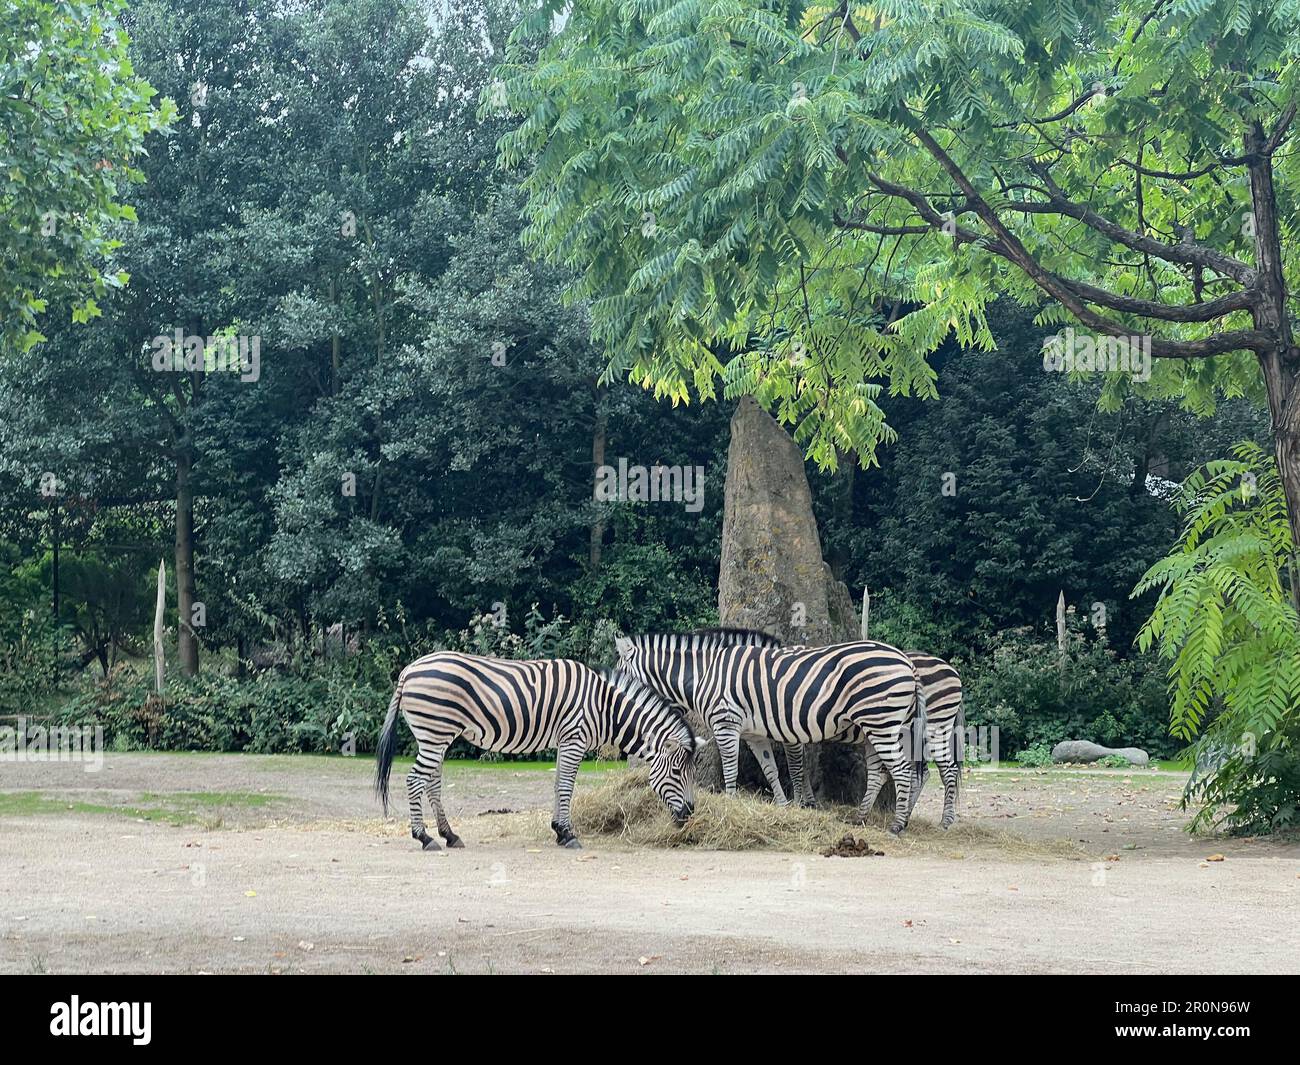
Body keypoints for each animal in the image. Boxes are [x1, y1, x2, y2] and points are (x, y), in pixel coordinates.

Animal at [375, 651, 701, 850]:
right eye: (676, 772)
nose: (689, 814)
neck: (605, 708)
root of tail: (409, 670)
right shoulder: (574, 738)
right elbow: (567, 786)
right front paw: (568, 834)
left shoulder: (565, 740)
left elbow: (558, 784)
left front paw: (558, 830)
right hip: (435, 732)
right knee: (415, 780)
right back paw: (424, 837)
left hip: (435, 735)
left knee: (432, 781)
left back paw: (450, 835)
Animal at [614, 631, 924, 833]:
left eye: (619, 672)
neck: (704, 675)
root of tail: (906, 661)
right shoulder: (755, 734)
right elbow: (771, 769)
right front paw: (784, 808)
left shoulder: (726, 724)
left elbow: (731, 770)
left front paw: (730, 805)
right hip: (876, 727)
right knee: (881, 772)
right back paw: (860, 818)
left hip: (882, 723)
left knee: (902, 770)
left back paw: (898, 825)